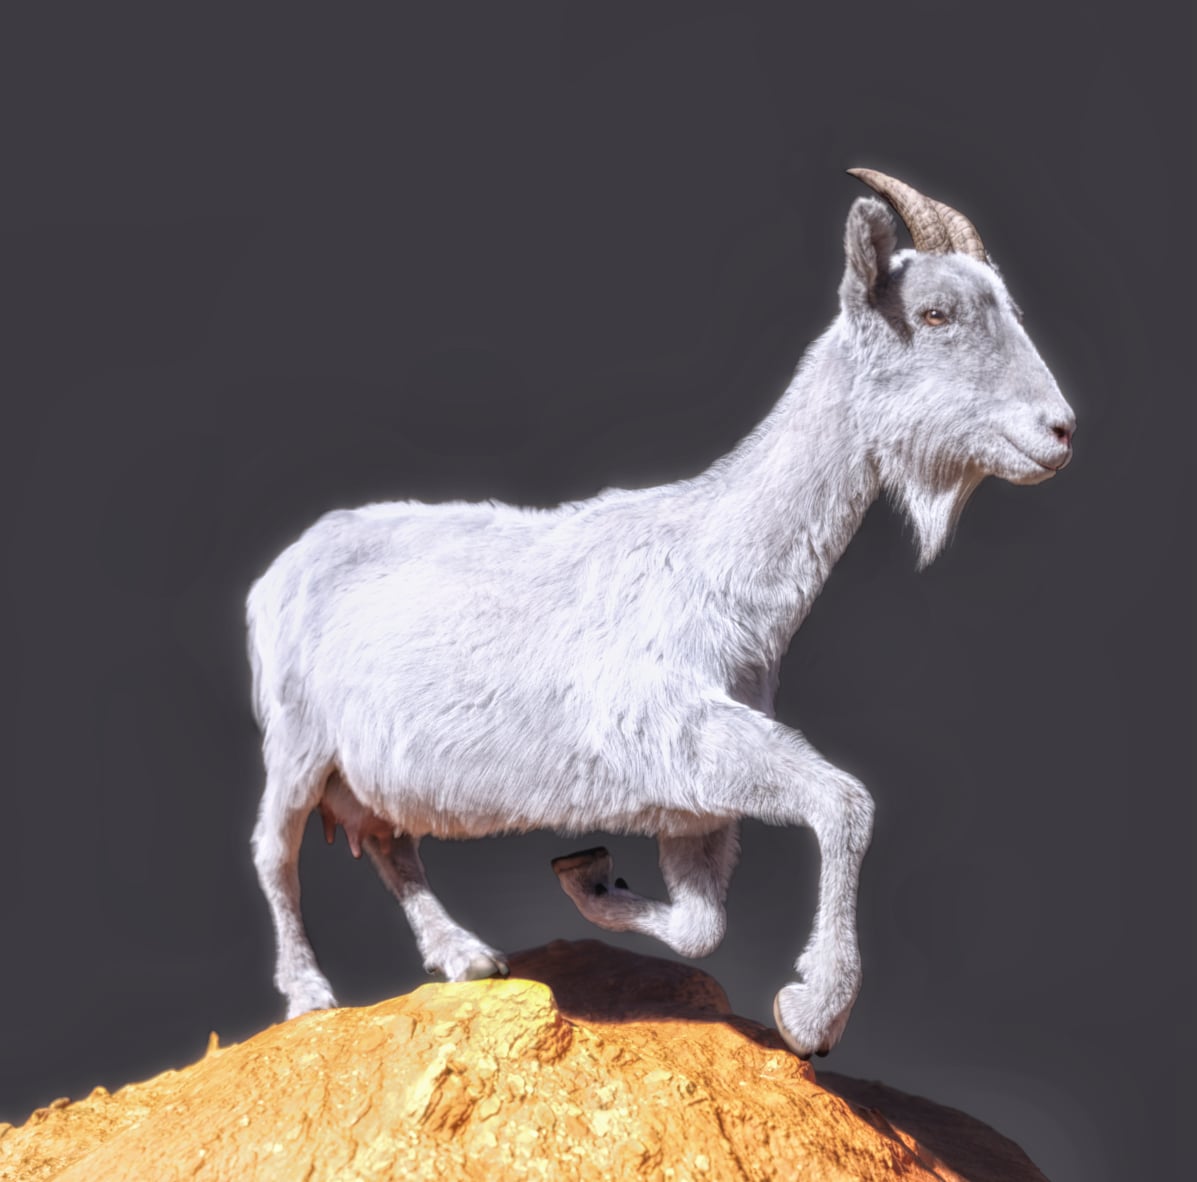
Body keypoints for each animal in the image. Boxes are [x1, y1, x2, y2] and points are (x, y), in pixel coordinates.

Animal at [248, 169, 1075, 1058]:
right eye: (934, 314)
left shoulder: (690, 806)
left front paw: (589, 878)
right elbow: (844, 801)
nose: (1058, 431)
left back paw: (466, 956)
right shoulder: (678, 732)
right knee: (274, 851)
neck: (718, 565)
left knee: (390, 842)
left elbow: (703, 925)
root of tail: (280, 570)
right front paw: (812, 1013)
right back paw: (309, 996)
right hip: (297, 740)